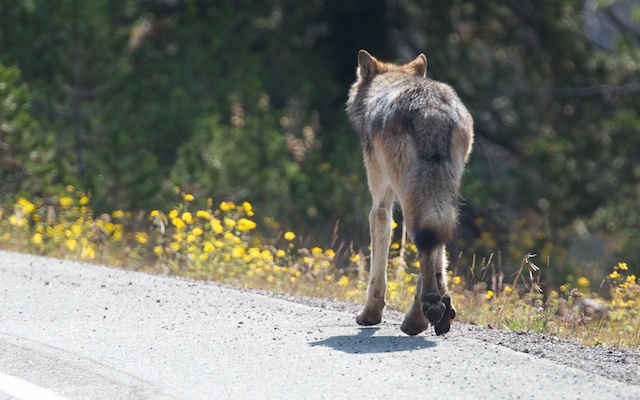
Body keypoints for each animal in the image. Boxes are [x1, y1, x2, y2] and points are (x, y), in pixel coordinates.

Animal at [346, 50, 473, 336]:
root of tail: (432, 111)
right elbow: (440, 260)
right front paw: (446, 303)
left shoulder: (380, 200)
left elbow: (378, 267)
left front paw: (369, 315)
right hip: (441, 194)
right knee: (436, 241)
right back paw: (438, 309)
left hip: (408, 193)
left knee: (422, 243)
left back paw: (420, 316)